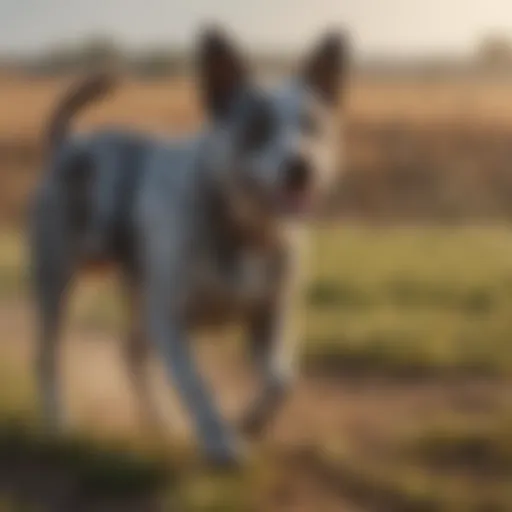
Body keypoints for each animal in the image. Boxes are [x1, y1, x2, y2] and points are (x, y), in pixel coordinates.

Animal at [28, 27, 348, 468]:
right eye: (257, 127)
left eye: (312, 125)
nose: (300, 167)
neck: (243, 230)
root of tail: (69, 144)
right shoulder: (173, 322)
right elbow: (197, 388)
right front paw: (219, 440)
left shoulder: (268, 318)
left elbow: (281, 381)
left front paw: (249, 422)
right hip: (58, 282)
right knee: (49, 356)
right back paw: (59, 421)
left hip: (140, 295)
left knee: (133, 354)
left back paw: (161, 422)